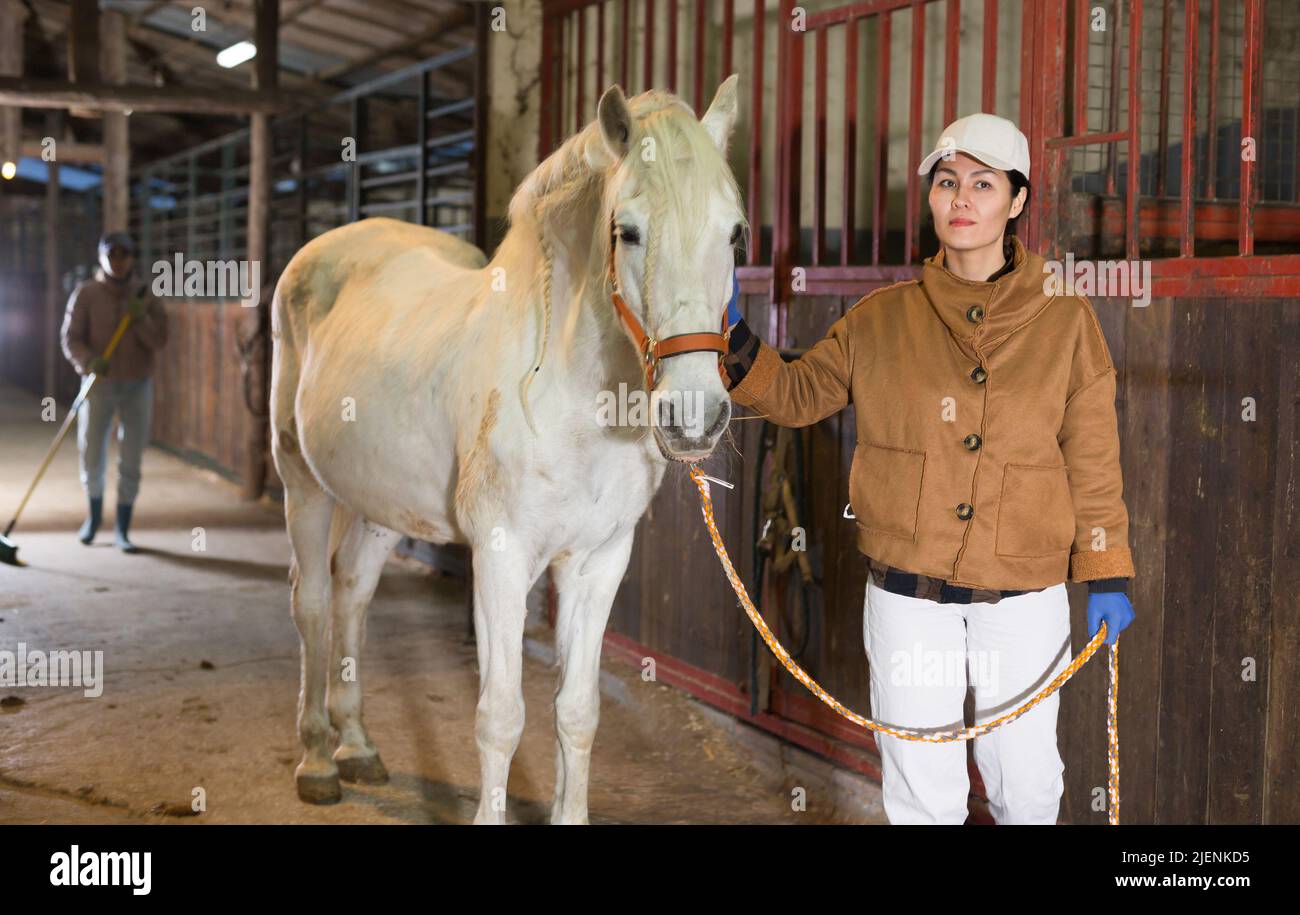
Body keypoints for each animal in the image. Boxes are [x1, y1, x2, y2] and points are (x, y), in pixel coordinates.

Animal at [269, 75, 747, 824]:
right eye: (628, 231)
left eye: (736, 233)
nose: (694, 415)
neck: (567, 392)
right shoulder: (500, 555)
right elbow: (501, 716)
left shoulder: (597, 562)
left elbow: (576, 713)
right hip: (304, 485)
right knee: (313, 601)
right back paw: (318, 758)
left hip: (380, 506)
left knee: (352, 595)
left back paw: (358, 746)